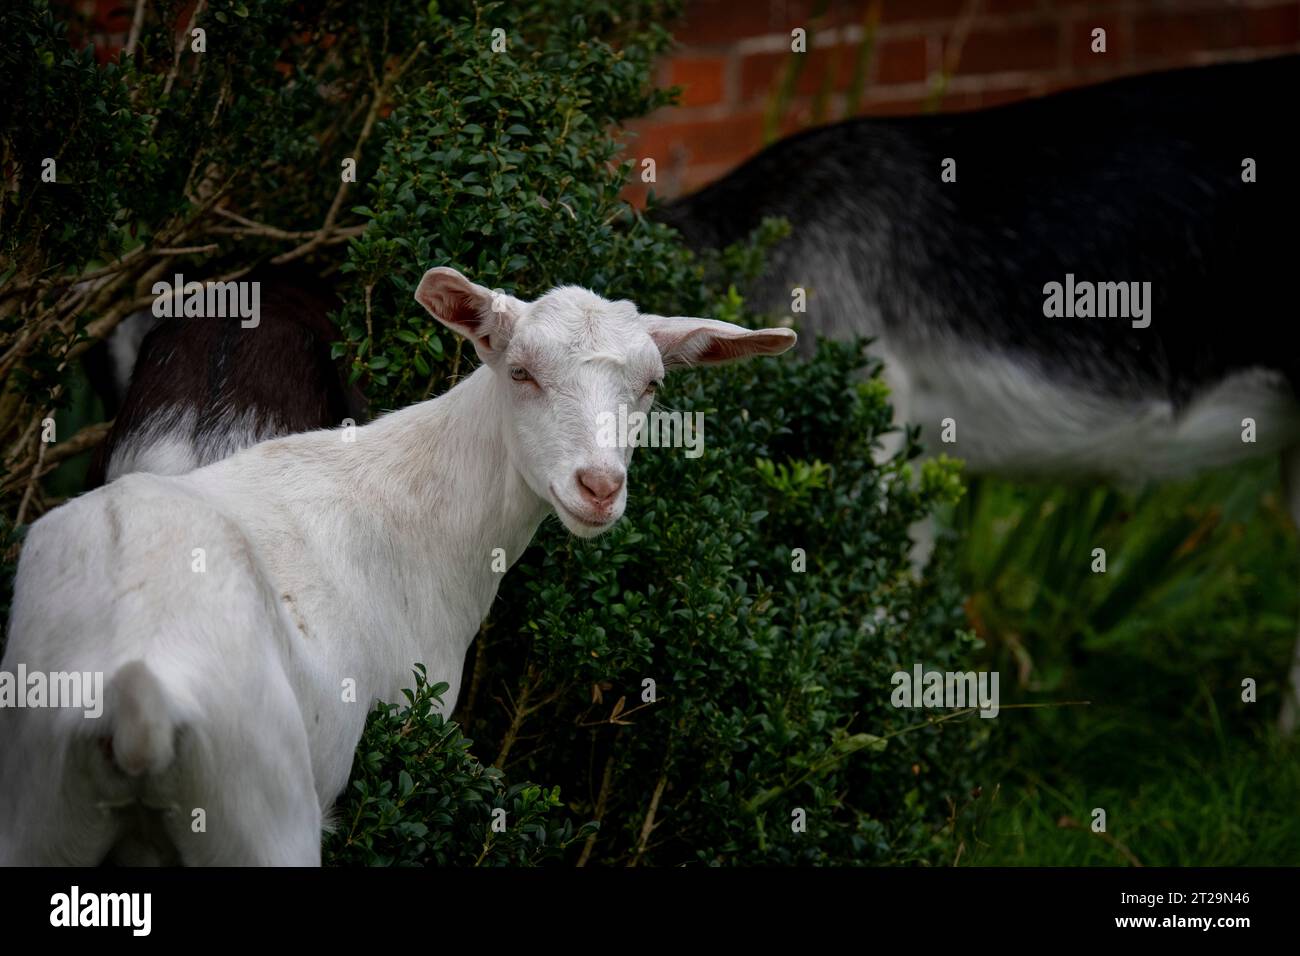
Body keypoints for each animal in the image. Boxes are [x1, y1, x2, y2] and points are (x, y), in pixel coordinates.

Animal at [0, 267, 795, 865]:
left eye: (652, 385)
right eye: (521, 372)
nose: (597, 487)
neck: (416, 518)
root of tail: (137, 707)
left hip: (42, 818)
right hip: (260, 813)